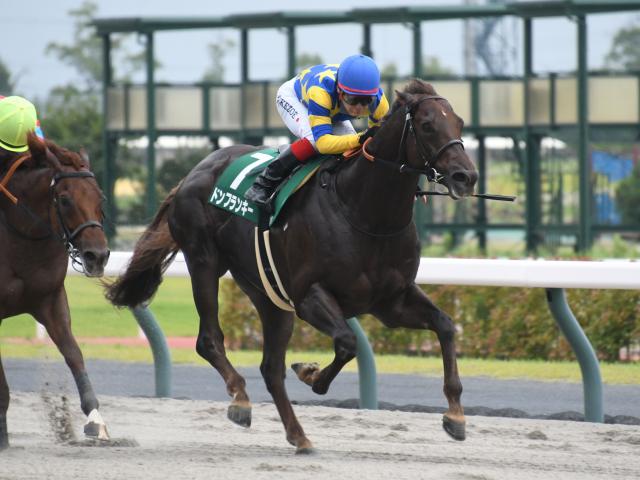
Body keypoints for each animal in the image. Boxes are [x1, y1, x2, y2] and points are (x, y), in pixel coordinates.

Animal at [0, 134, 110, 450]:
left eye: (100, 198)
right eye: (64, 199)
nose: (97, 256)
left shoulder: (50, 299)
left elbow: (74, 354)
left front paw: (96, 420)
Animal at [106, 79, 478, 453]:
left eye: (460, 123)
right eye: (427, 125)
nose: (467, 176)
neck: (363, 211)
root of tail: (193, 173)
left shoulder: (391, 301)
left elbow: (446, 326)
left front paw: (456, 416)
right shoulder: (309, 297)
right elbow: (347, 342)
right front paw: (311, 374)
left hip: (267, 293)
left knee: (270, 368)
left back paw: (298, 435)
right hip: (204, 262)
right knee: (209, 340)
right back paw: (240, 399)